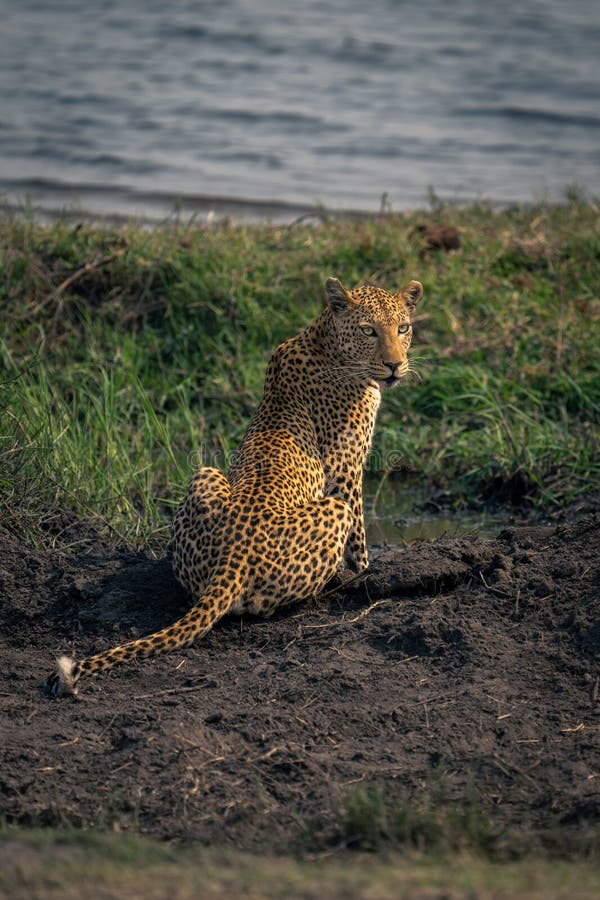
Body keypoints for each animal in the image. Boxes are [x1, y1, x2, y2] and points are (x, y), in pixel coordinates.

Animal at [45, 275, 422, 696]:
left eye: (403, 328)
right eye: (368, 330)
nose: (395, 365)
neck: (322, 337)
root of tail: (233, 553)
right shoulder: (345, 470)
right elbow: (359, 539)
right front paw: (364, 572)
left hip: (204, 475)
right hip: (328, 511)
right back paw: (330, 586)